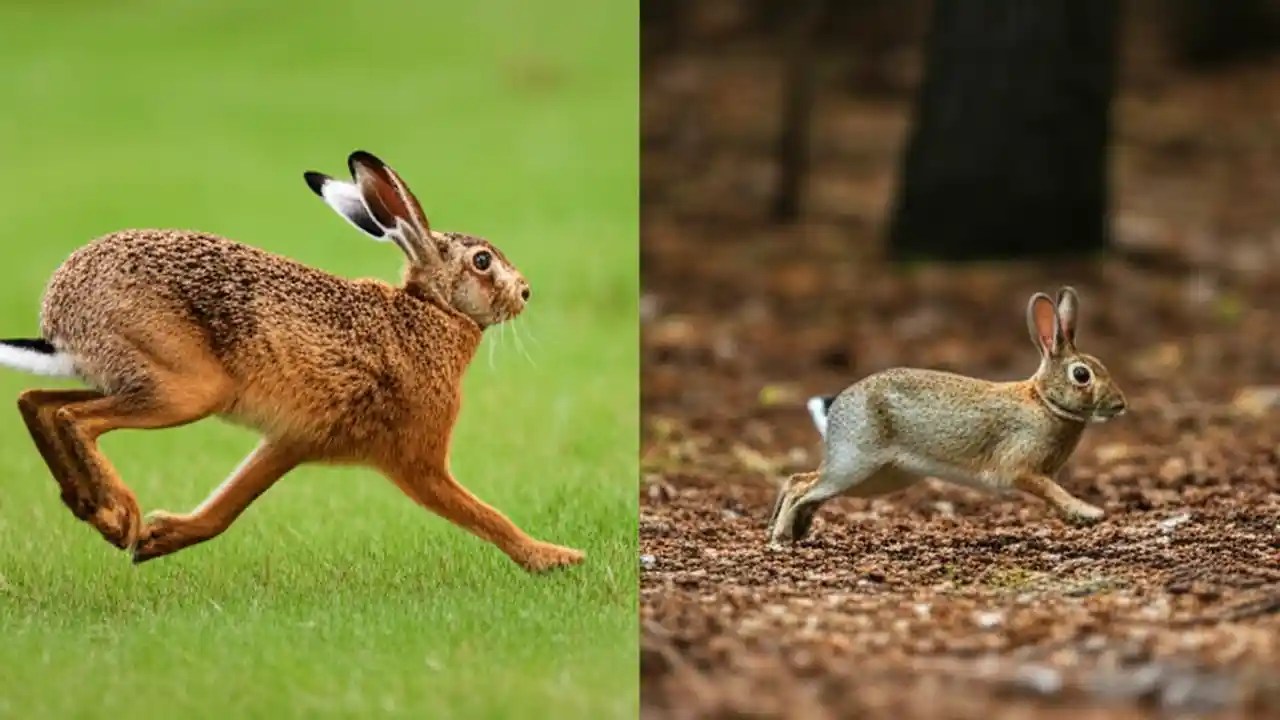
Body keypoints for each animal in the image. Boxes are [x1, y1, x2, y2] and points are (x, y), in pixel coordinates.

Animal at [0, 150, 584, 573]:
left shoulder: (291, 441)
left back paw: (94, 508)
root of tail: (61, 317)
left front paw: (158, 539)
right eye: (482, 262)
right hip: (184, 389)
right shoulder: (416, 458)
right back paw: (117, 515)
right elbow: (483, 514)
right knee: (74, 416)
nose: (525, 292)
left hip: (137, 379)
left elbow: (228, 507)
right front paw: (555, 559)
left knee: (37, 401)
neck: (431, 312)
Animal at [768, 287, 1126, 546]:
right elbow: (1052, 491)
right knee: (802, 487)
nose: (1120, 405)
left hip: (877, 478)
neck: (1044, 400)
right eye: (1081, 375)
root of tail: (837, 406)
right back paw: (781, 537)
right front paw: (1089, 513)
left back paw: (792, 530)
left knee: (801, 483)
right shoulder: (1023, 468)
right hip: (855, 463)